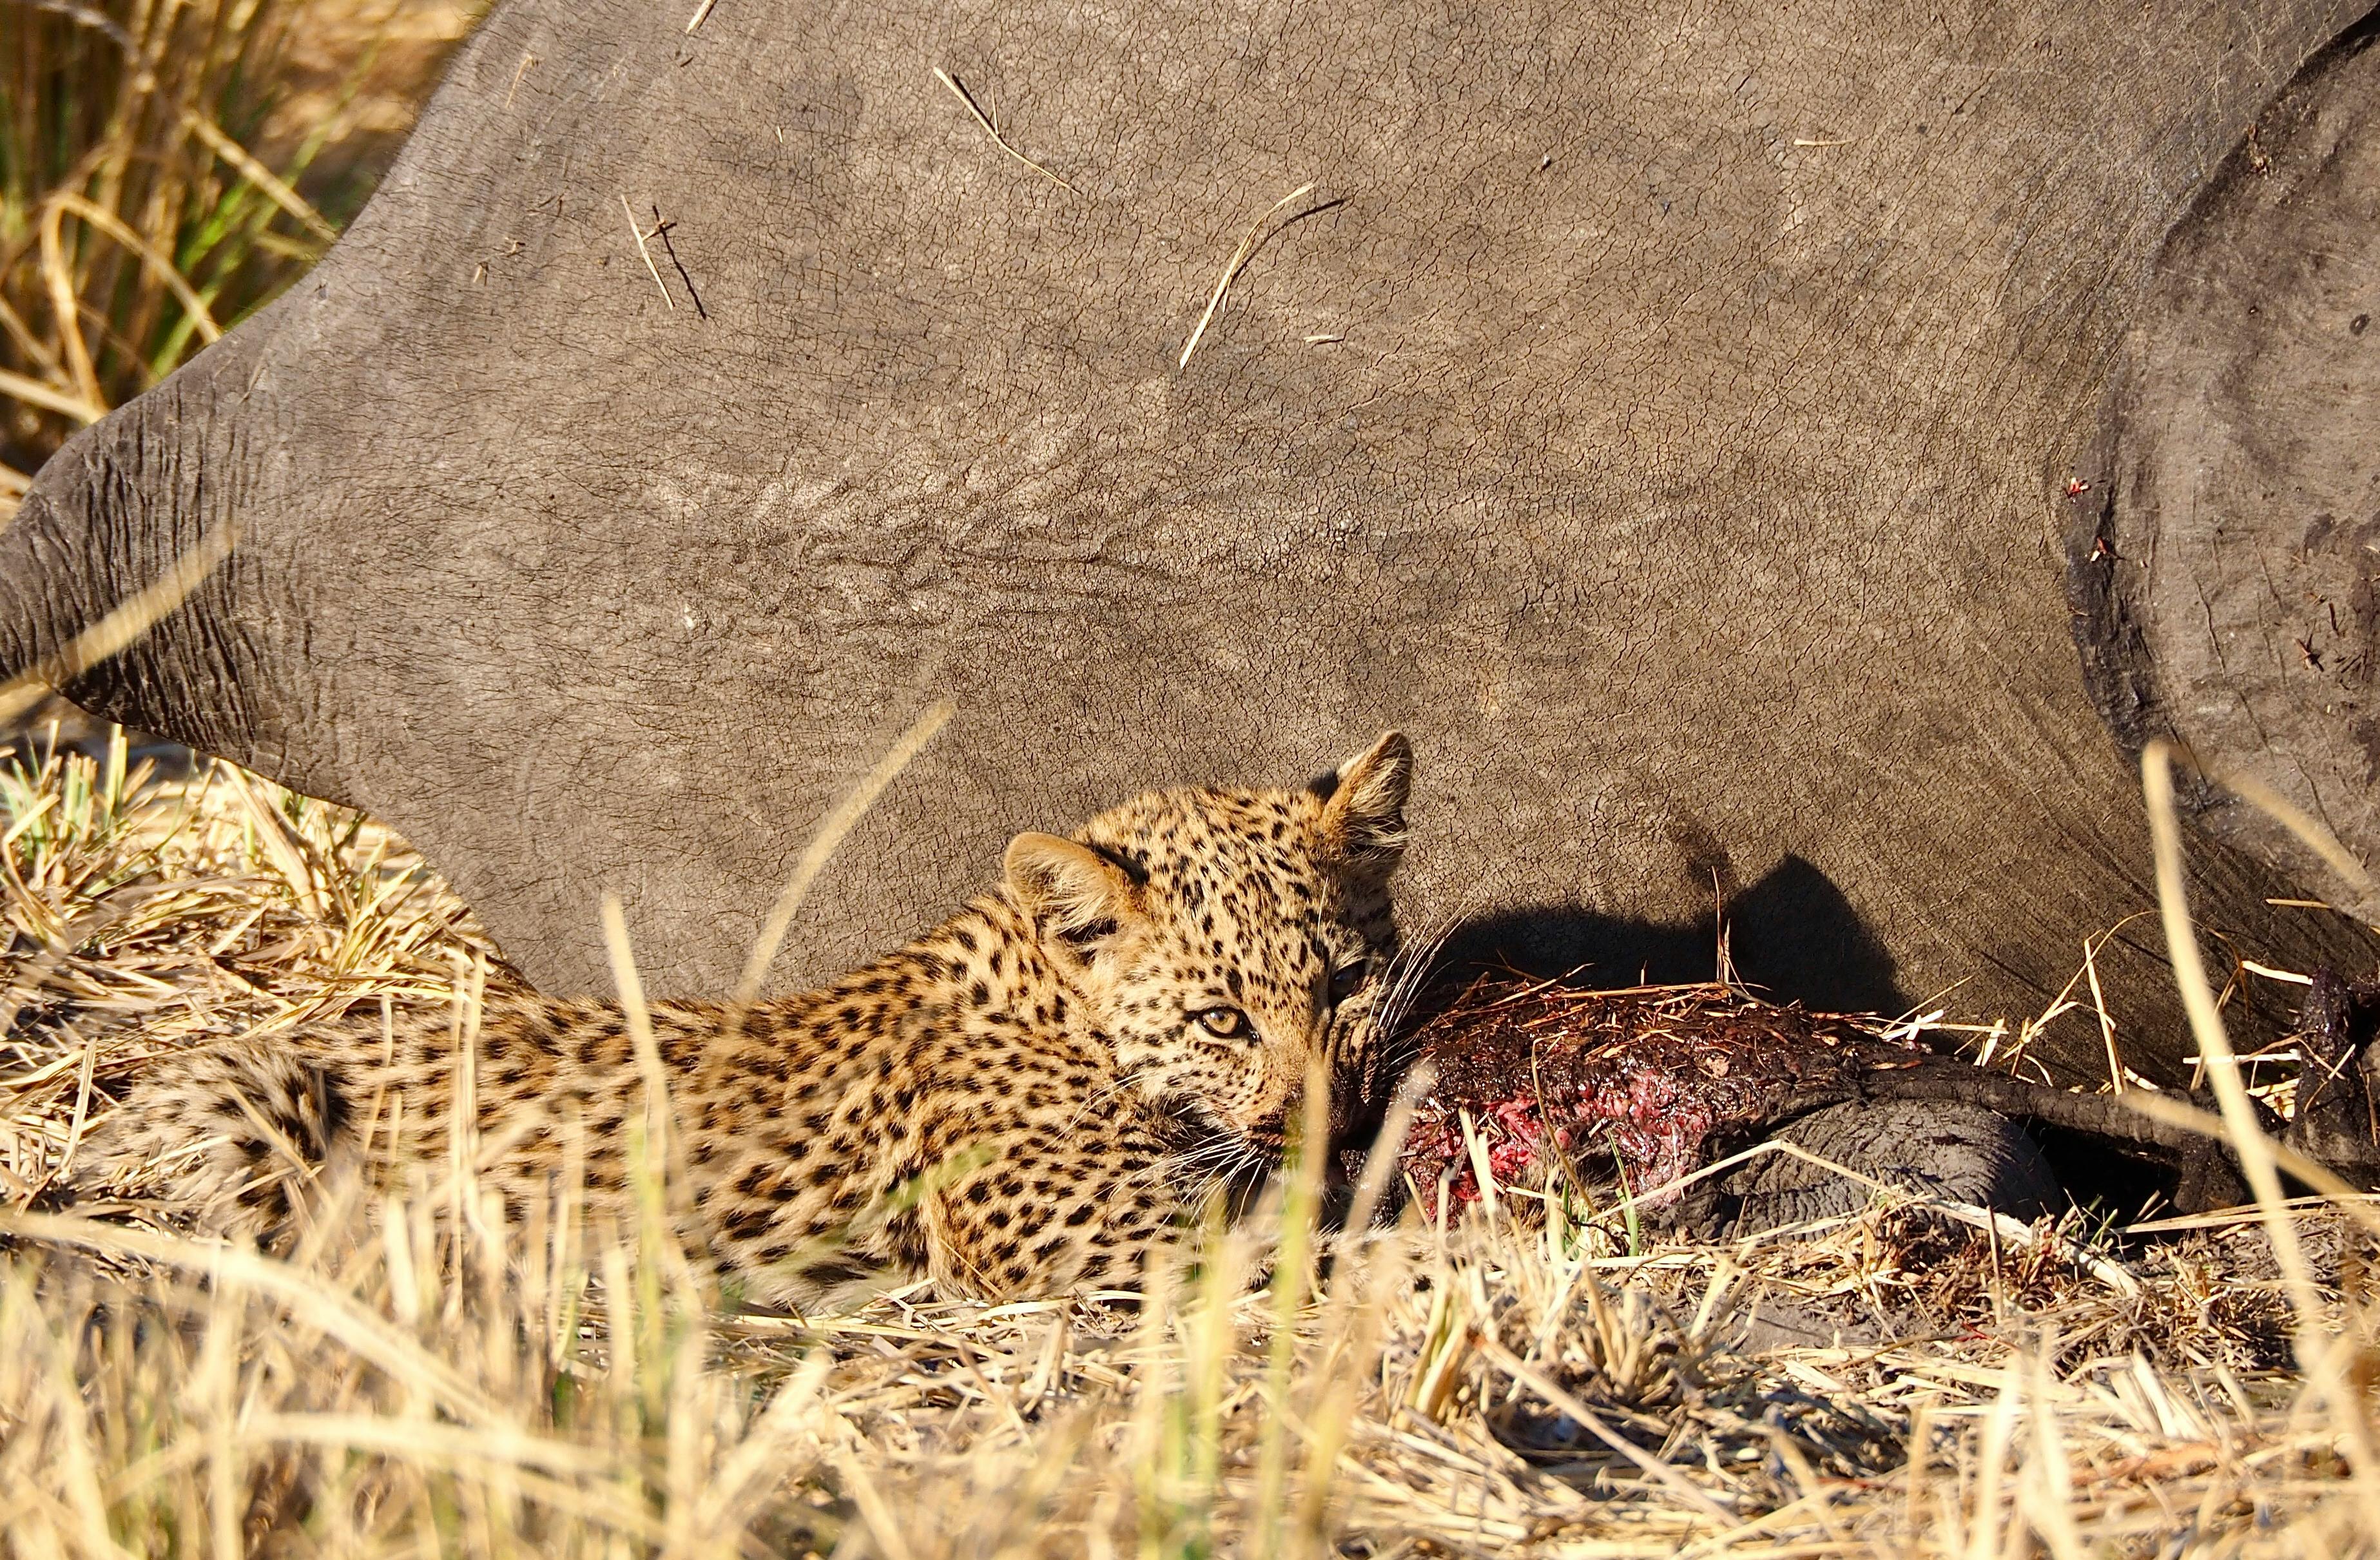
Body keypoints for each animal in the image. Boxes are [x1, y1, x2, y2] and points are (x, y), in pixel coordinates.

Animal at [68, 732, 1414, 1307]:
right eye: (1221, 1021)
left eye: (1345, 983)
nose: (1328, 1120)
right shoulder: (1085, 1242)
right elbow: (1316, 1247)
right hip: (249, 1104)